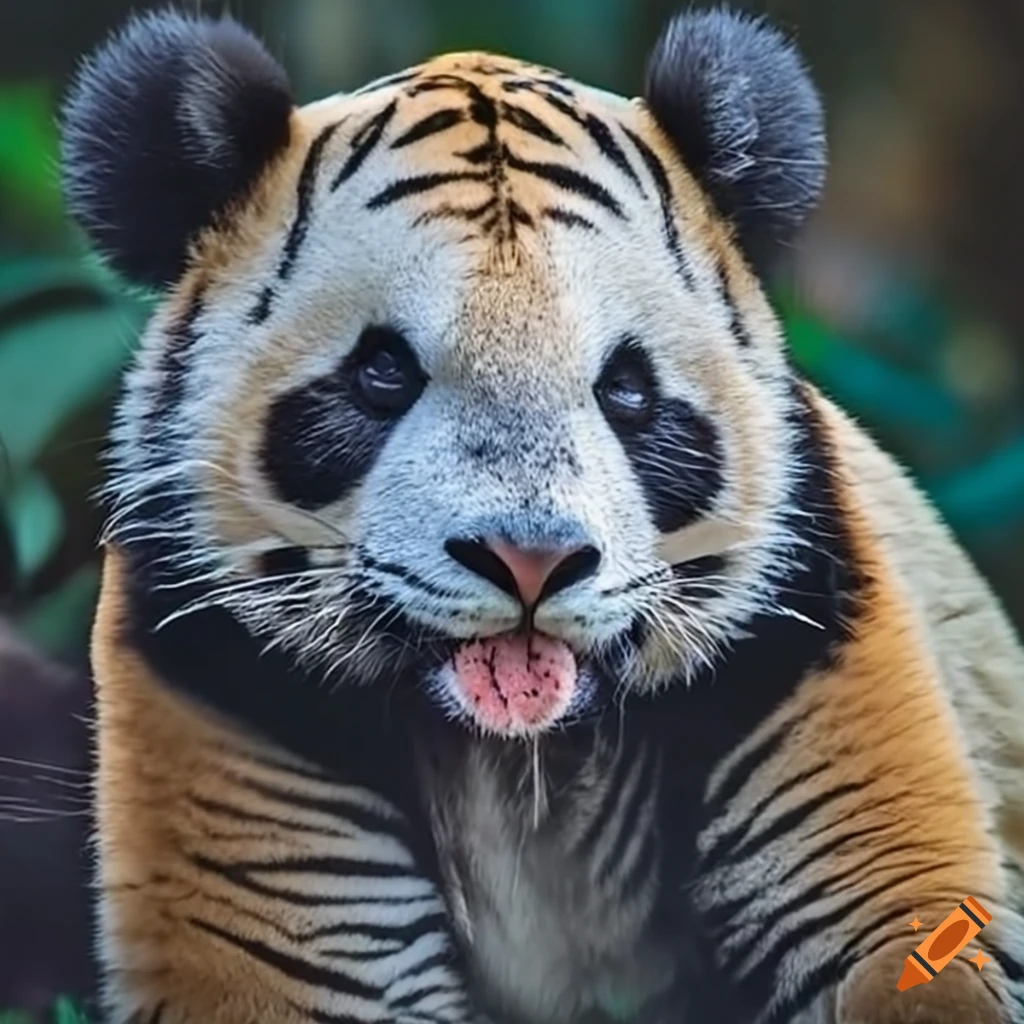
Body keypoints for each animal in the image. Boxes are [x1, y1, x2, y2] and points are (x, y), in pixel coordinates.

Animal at [59, 5, 1024, 1023]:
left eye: (626, 388)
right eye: (382, 371)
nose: (531, 561)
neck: (517, 751)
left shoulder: (799, 642)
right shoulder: (234, 691)